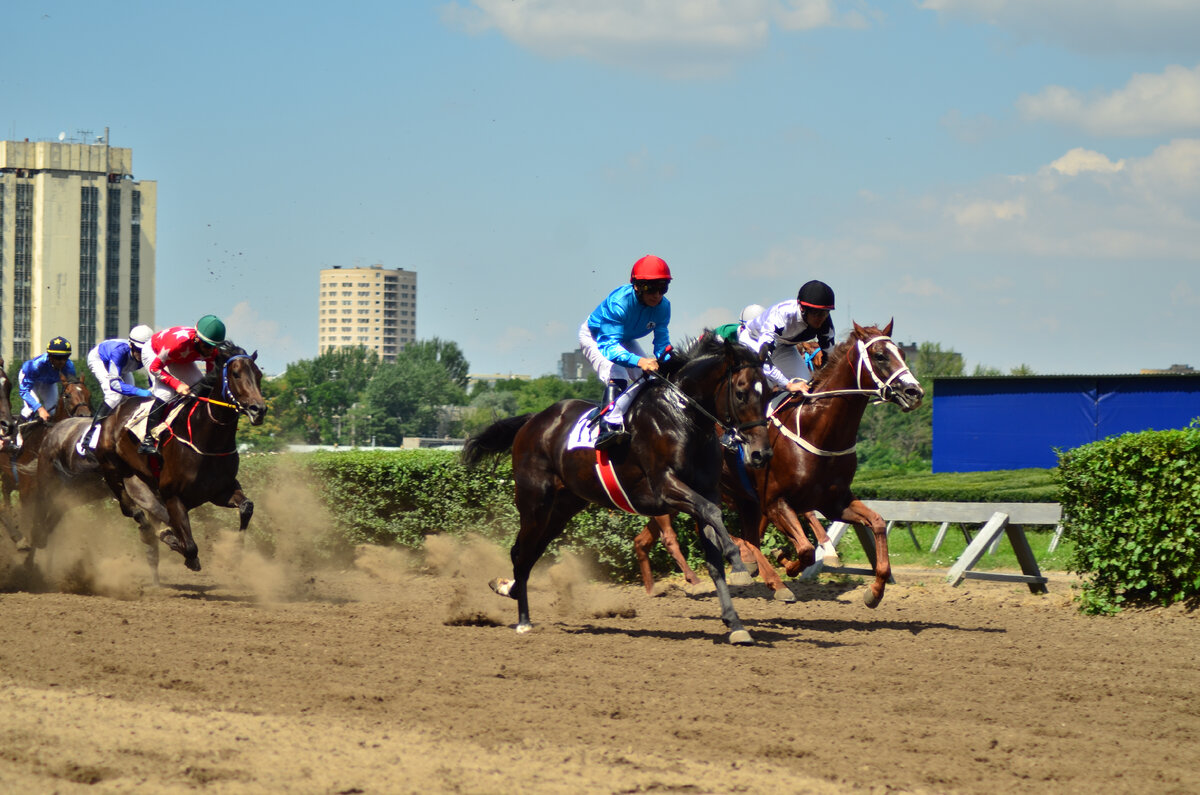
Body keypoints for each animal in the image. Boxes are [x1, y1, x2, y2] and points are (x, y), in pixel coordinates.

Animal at [93, 345, 267, 583]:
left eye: (259, 375)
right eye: (236, 374)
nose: (258, 409)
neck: (208, 441)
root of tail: (115, 412)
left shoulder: (219, 491)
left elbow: (247, 507)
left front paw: (236, 553)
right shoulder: (174, 496)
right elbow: (191, 546)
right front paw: (179, 545)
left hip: (144, 486)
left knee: (154, 518)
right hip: (113, 470)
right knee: (130, 509)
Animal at [463, 336, 772, 648]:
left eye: (769, 392)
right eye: (741, 393)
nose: (762, 454)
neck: (681, 418)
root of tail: (533, 420)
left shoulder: (705, 492)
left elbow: (714, 553)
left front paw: (735, 623)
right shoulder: (666, 487)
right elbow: (713, 515)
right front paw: (739, 563)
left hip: (563, 508)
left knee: (531, 551)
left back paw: (510, 590)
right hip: (534, 502)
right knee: (521, 552)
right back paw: (523, 619)